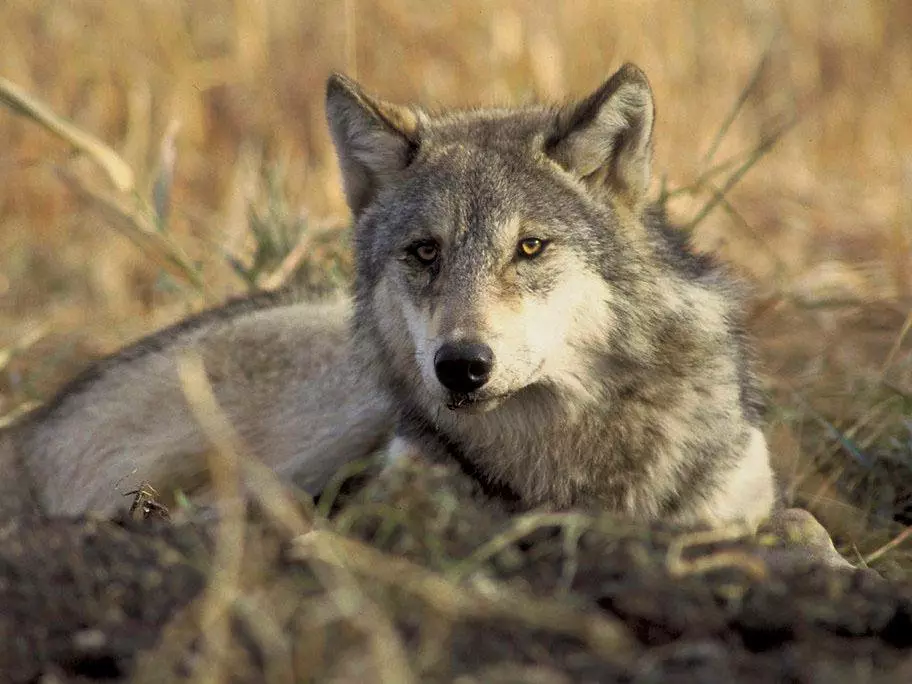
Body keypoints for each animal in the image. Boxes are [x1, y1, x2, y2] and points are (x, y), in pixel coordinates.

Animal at [1, 65, 812, 540]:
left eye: (530, 248)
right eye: (425, 252)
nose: (461, 366)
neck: (566, 456)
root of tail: (29, 429)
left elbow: (803, 526)